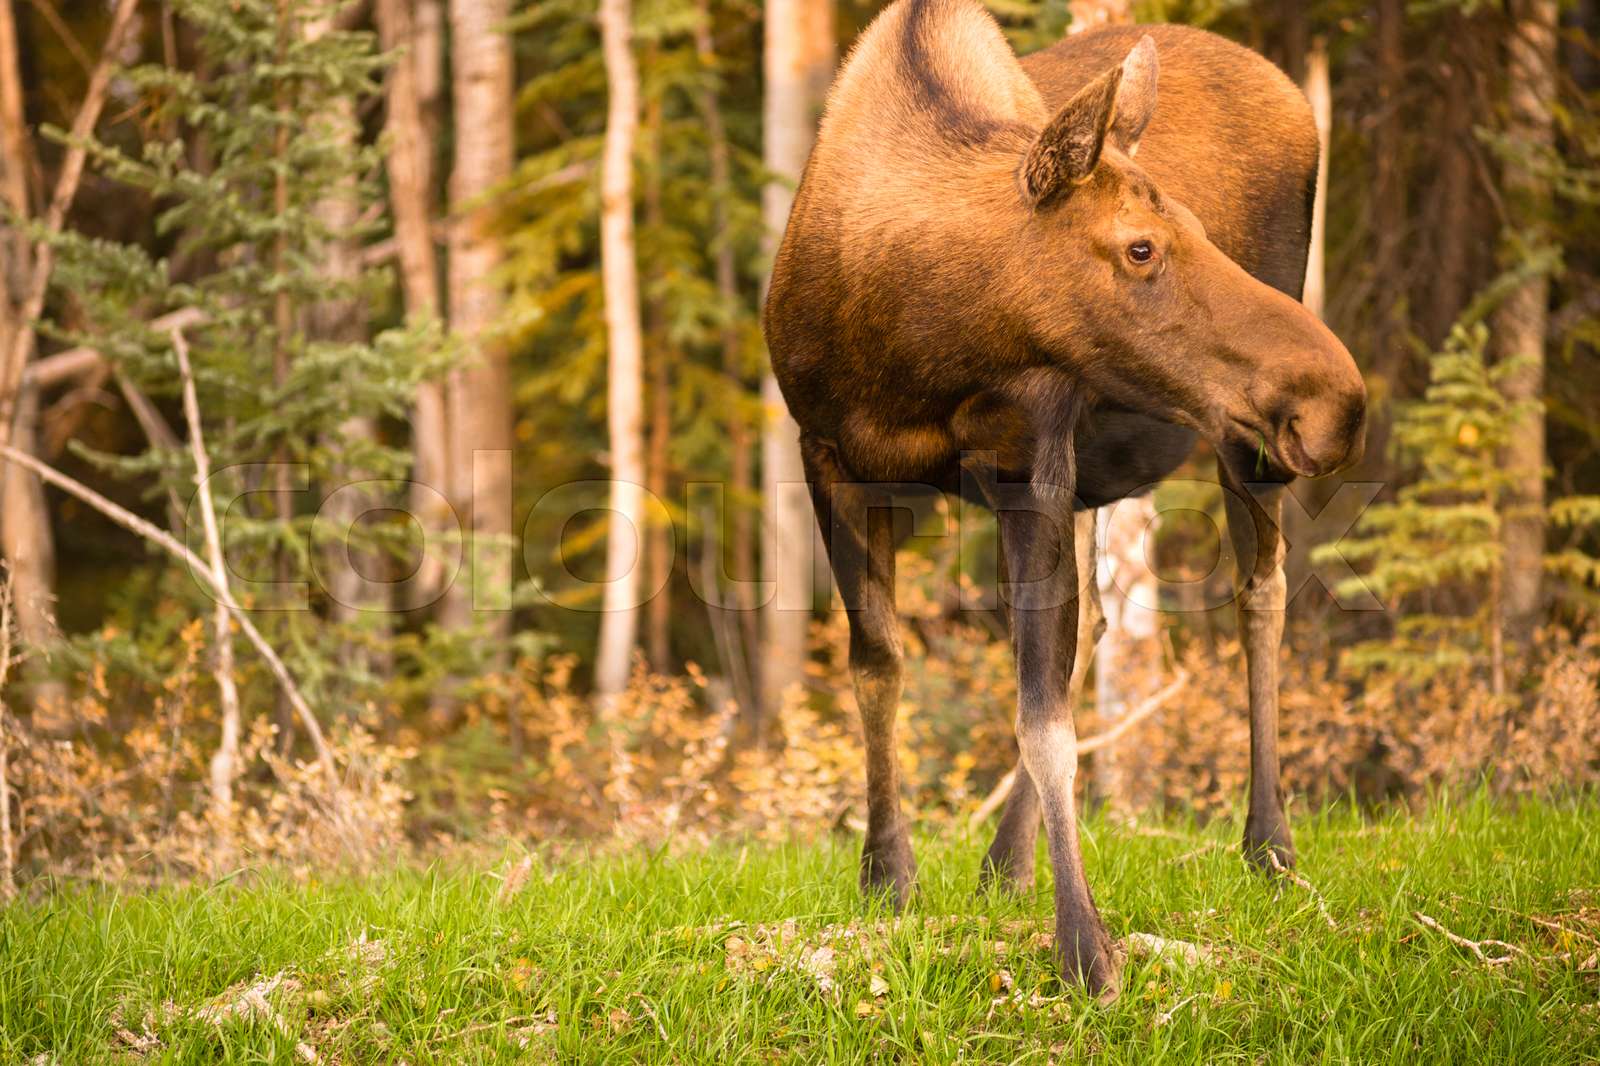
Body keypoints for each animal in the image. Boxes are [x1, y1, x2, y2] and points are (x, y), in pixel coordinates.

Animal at [763, 0, 1366, 1001]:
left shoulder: (1030, 459)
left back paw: (1268, 843)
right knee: (1101, 628)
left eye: (1195, 226)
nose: (1339, 402)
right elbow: (879, 665)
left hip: (1242, 445)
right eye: (1140, 246)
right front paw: (888, 878)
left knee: (1261, 593)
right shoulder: (829, 455)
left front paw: (1084, 943)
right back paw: (1005, 865)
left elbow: (1039, 713)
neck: (916, 345)